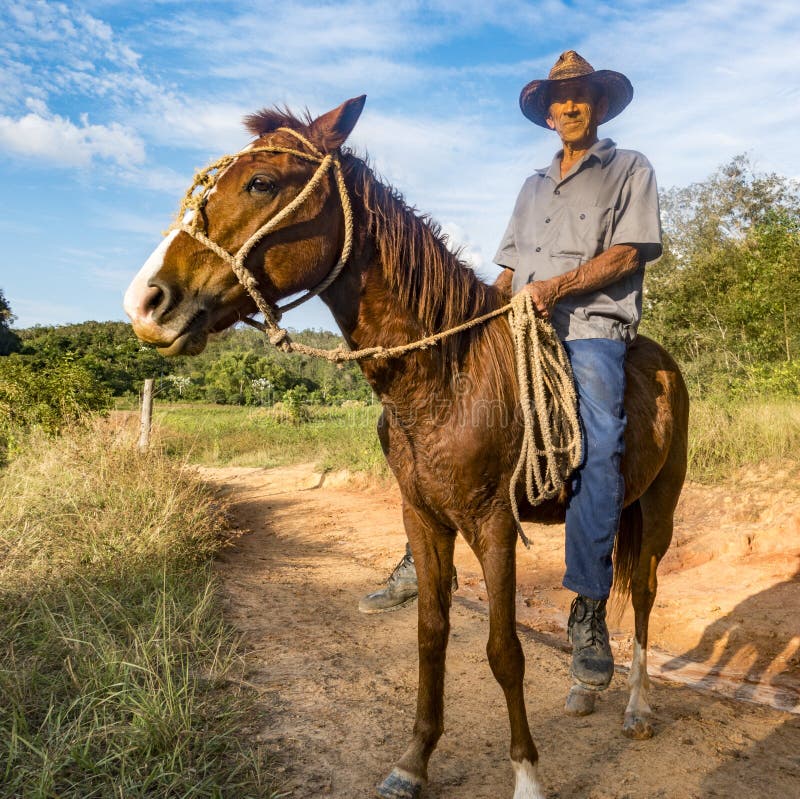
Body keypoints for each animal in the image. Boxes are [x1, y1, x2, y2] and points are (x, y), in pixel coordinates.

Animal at [124, 96, 689, 799]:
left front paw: (526, 771)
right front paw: (414, 761)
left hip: (660, 506)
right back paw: (587, 687)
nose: (147, 302)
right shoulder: (421, 517)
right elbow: (430, 634)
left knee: (642, 591)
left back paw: (637, 705)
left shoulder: (492, 523)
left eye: (260, 183)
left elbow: (504, 650)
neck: (447, 376)